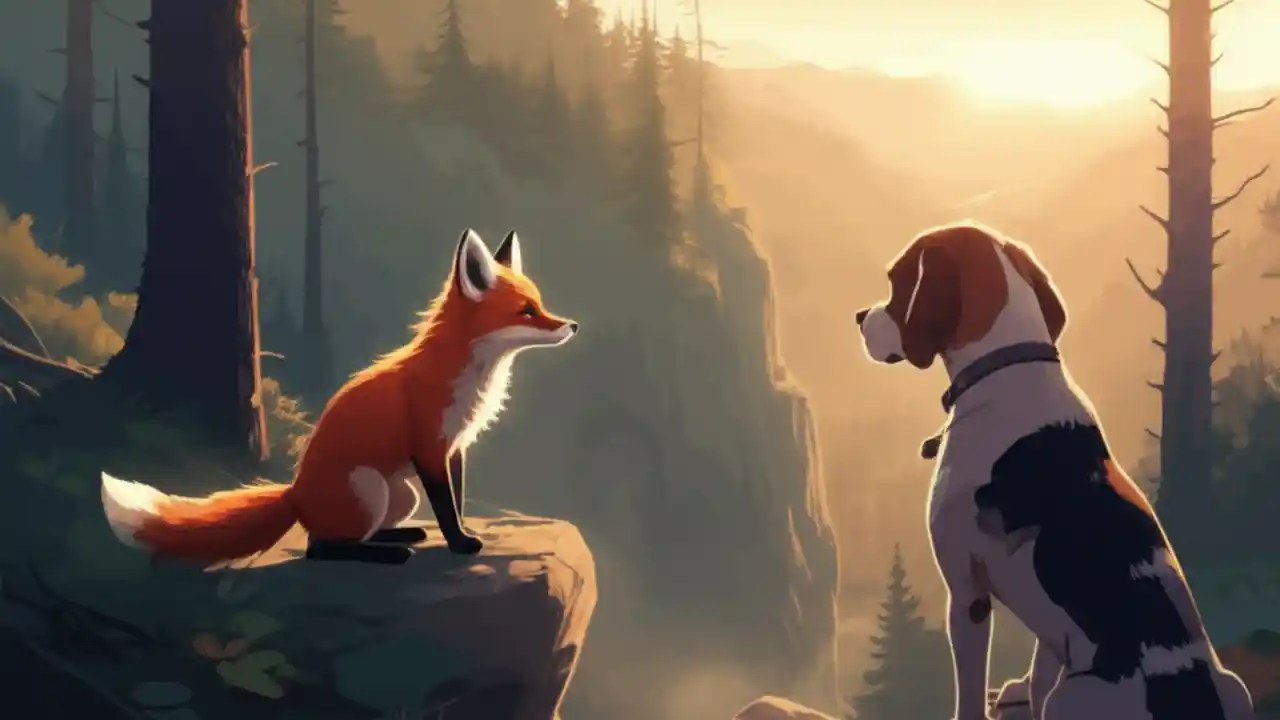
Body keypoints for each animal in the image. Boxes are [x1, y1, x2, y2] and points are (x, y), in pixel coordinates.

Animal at [100, 229, 579, 565]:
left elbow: (456, 502)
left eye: (540, 304)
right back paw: (390, 552)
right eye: (527, 312)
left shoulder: (455, 447)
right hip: (369, 488)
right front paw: (461, 544)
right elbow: (446, 507)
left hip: (400, 495)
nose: (572, 325)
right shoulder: (430, 446)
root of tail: (295, 493)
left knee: (348, 534)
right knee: (320, 546)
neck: (465, 374)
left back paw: (400, 536)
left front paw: (458, 535)